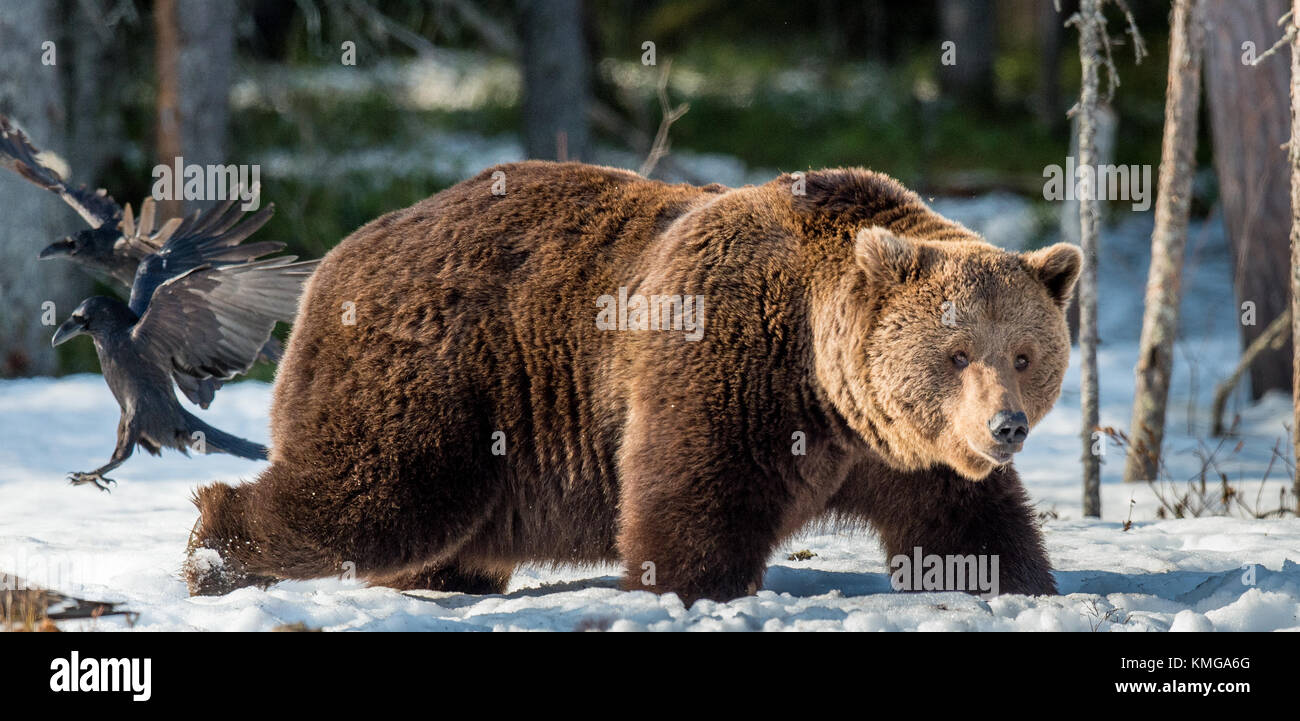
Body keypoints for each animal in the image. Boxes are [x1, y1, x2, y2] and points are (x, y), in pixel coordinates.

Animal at [184, 161, 1079, 604]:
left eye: (1024, 354)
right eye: (957, 352)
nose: (1006, 426)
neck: (827, 389)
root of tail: (335, 259)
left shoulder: (905, 451)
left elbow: (969, 525)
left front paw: (1023, 587)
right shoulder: (730, 360)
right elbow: (693, 499)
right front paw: (694, 591)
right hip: (438, 374)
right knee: (373, 494)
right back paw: (212, 556)